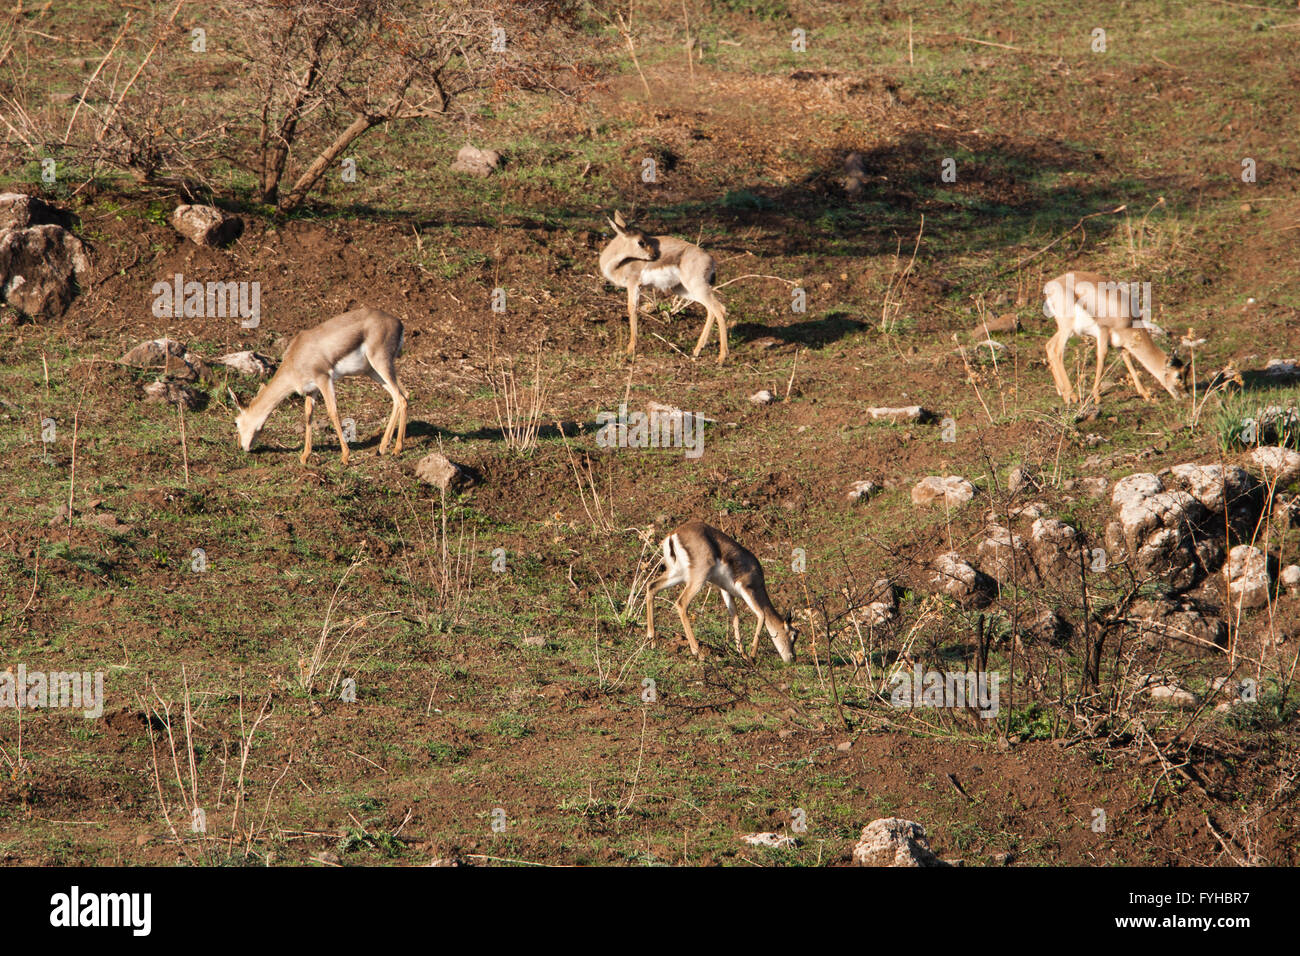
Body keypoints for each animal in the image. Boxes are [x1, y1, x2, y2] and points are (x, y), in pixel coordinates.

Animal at [229, 307, 408, 465]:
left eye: (236, 422)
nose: (241, 447)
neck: (295, 359)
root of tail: (398, 323)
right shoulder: (312, 389)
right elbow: (309, 414)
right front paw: (304, 456)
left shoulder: (323, 379)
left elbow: (332, 412)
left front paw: (345, 456)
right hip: (372, 371)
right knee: (401, 395)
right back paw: (383, 448)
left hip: (380, 363)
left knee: (401, 398)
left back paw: (396, 449)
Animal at [599, 211, 730, 363]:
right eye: (641, 242)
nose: (654, 255)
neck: (619, 264)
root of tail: (711, 259)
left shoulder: (633, 284)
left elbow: (632, 309)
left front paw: (630, 349)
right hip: (684, 290)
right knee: (711, 309)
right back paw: (697, 351)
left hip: (697, 287)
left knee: (720, 309)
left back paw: (721, 357)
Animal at [645, 520, 796, 663]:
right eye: (794, 635)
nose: (792, 658)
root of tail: (674, 534)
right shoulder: (747, 589)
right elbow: (762, 614)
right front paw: (752, 656)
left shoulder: (726, 591)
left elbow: (735, 617)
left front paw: (742, 654)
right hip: (698, 578)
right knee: (681, 603)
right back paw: (698, 653)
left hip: (677, 575)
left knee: (651, 586)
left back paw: (652, 640)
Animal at [1043, 271, 1187, 407]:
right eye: (1178, 376)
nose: (1185, 396)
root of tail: (1051, 284)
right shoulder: (1103, 331)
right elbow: (1102, 356)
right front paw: (1097, 397)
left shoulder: (1119, 343)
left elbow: (1128, 359)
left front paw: (1145, 394)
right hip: (1067, 329)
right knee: (1057, 351)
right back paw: (1071, 396)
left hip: (1067, 331)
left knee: (1049, 346)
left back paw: (1061, 392)